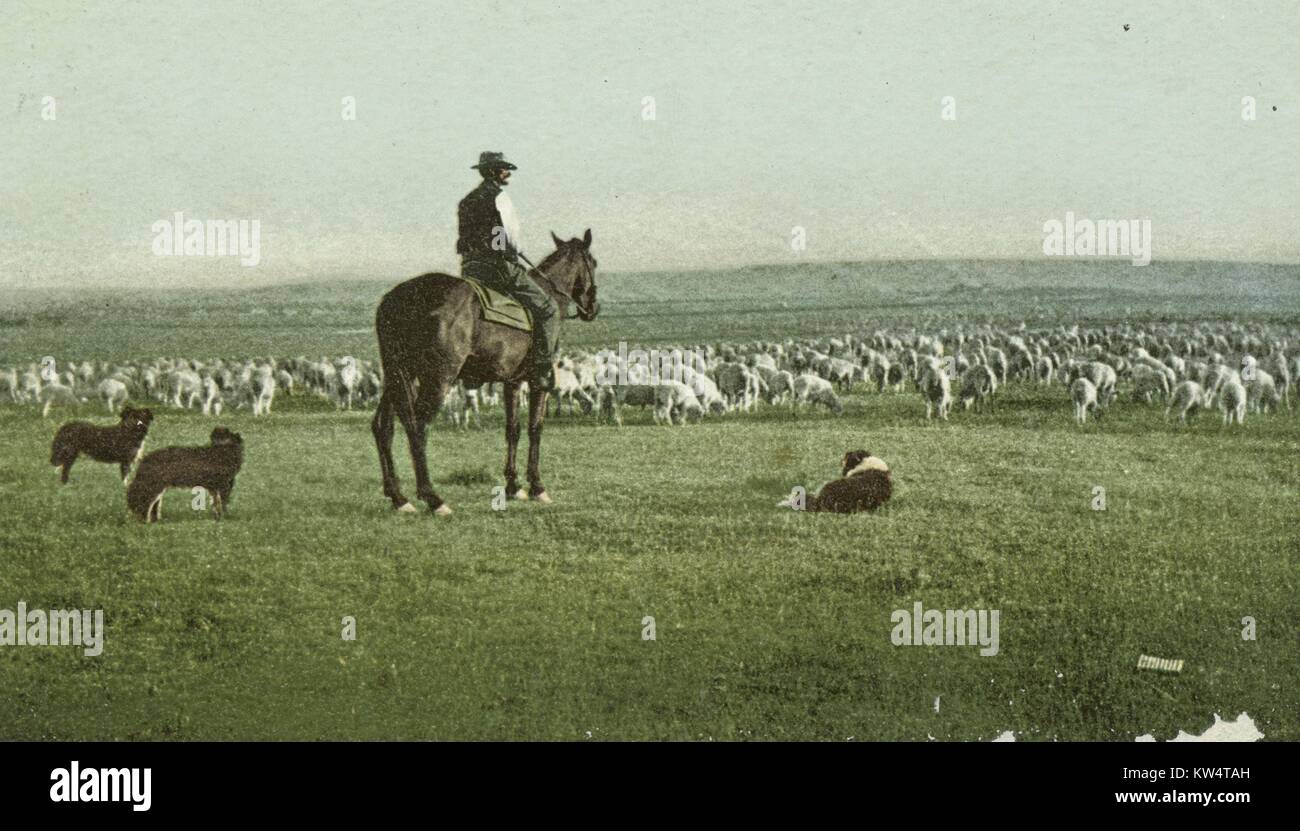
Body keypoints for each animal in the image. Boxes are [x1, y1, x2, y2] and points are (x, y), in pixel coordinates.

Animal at [372, 229, 600, 514]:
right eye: (593, 263)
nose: (593, 308)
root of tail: (398, 298)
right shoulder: (539, 381)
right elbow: (535, 428)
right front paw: (537, 487)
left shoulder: (512, 382)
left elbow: (512, 428)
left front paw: (513, 486)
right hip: (438, 377)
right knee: (418, 427)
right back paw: (433, 498)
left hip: (398, 374)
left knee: (383, 426)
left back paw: (398, 497)